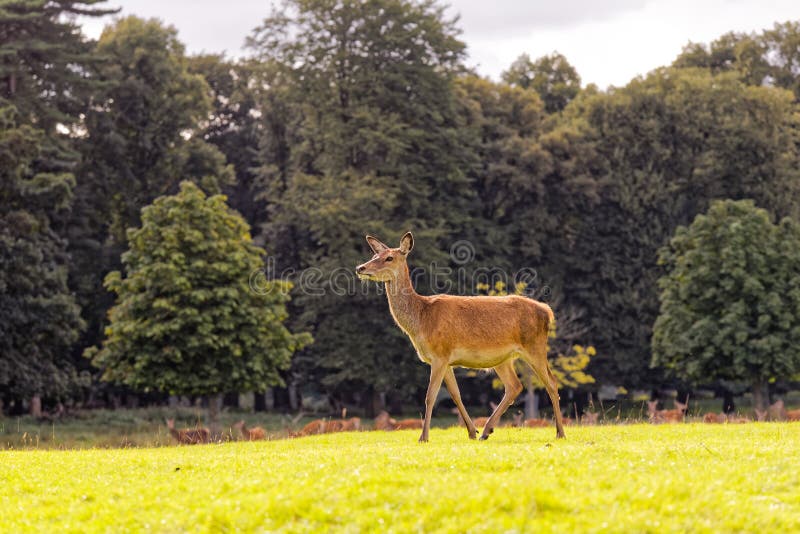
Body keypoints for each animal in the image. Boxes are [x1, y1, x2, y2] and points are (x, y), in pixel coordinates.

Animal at [356, 232, 565, 442]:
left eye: (389, 258)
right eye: (375, 255)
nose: (361, 268)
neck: (421, 320)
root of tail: (547, 311)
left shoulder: (440, 355)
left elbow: (430, 396)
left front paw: (423, 437)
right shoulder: (446, 360)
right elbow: (456, 394)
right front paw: (472, 432)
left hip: (535, 347)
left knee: (551, 383)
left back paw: (560, 433)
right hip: (502, 359)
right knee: (515, 386)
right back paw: (486, 431)